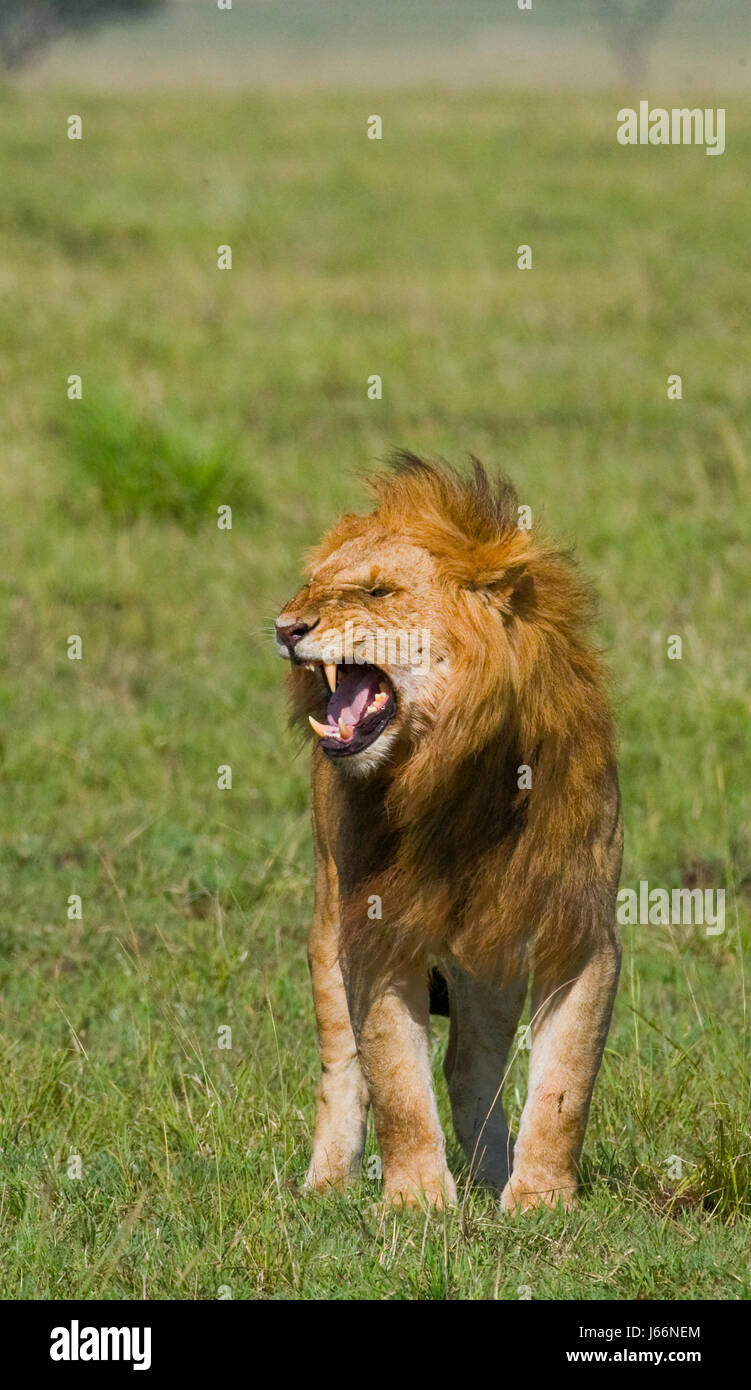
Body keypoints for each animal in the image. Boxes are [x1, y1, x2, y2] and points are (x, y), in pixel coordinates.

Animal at [275, 455, 622, 1211]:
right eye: (311, 584)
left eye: (378, 591)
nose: (286, 626)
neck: (451, 772)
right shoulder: (374, 932)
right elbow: (395, 1084)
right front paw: (416, 1203)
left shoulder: (577, 931)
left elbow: (566, 1084)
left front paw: (540, 1199)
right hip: (325, 923)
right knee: (343, 1069)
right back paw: (326, 1185)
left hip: (489, 962)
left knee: (470, 1068)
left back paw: (493, 1172)